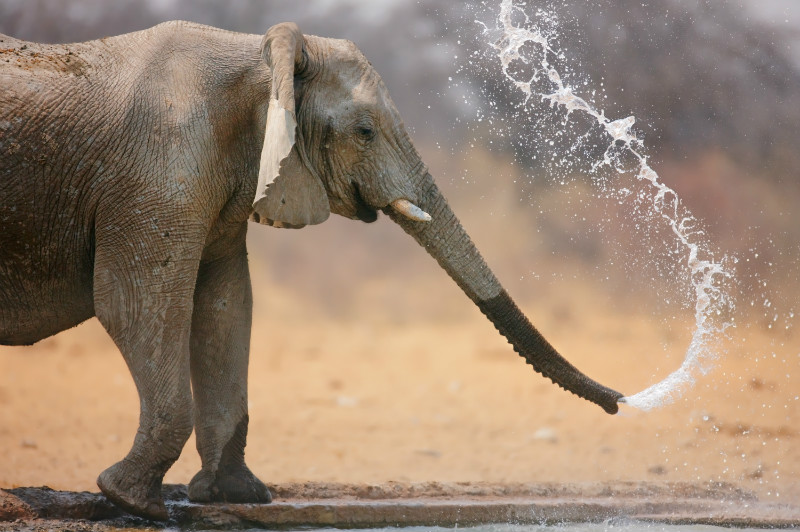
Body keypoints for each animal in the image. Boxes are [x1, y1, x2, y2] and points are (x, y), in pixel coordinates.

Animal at [0, 21, 624, 520]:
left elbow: (225, 306)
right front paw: (134, 502)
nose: (620, 402)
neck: (261, 53)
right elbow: (138, 305)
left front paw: (238, 496)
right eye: (365, 132)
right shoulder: (157, 173)